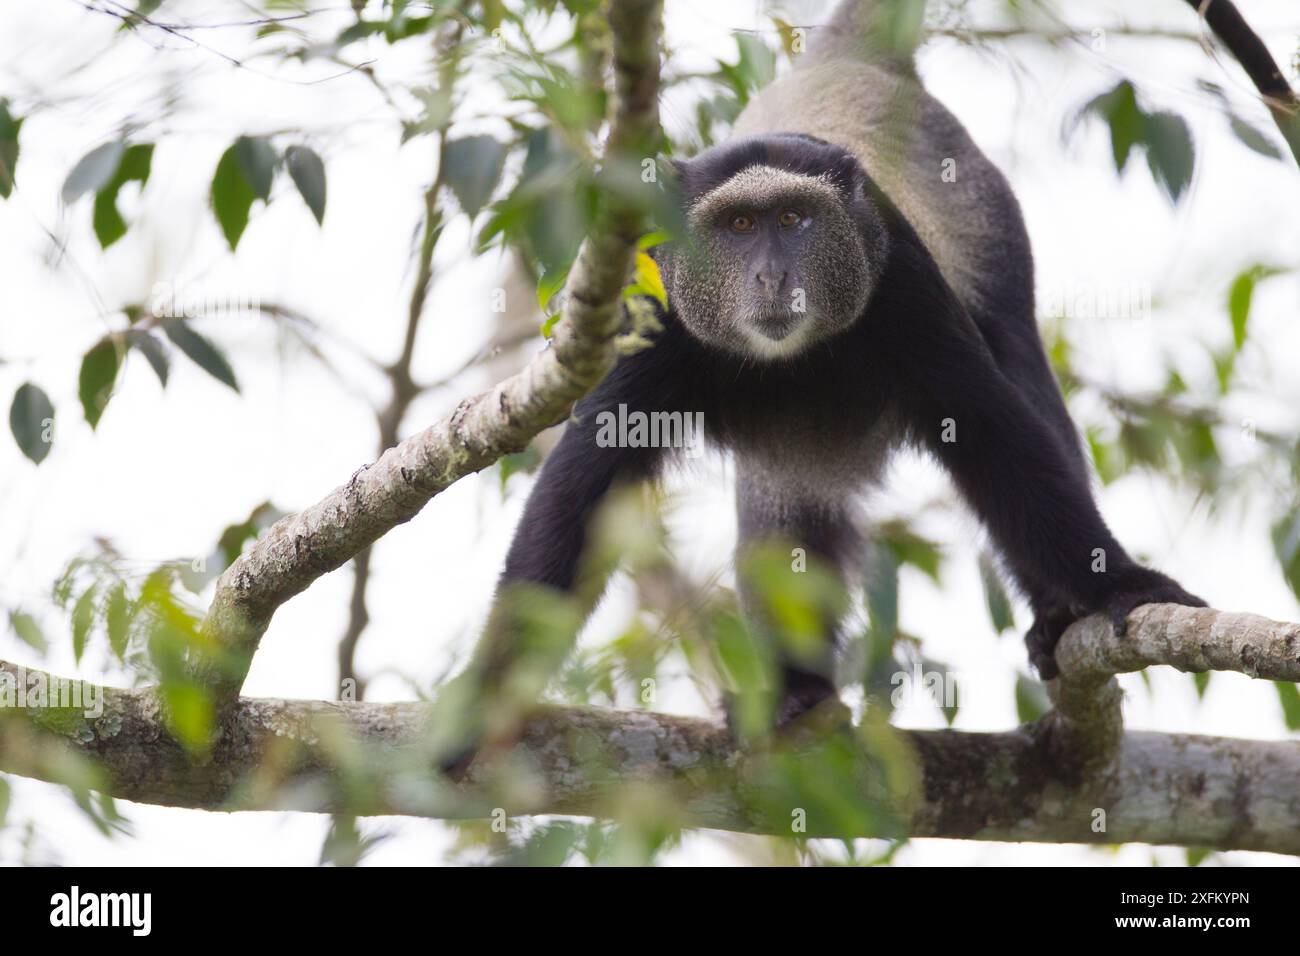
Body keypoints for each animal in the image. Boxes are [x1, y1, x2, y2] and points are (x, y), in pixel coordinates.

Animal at [450, 0, 1205, 748]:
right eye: (739, 225)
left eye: (792, 218)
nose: (771, 276)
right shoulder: (653, 309)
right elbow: (580, 492)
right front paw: (482, 701)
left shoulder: (902, 281)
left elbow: (998, 440)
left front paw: (1122, 585)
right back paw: (798, 688)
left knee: (1015, 357)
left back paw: (1053, 618)